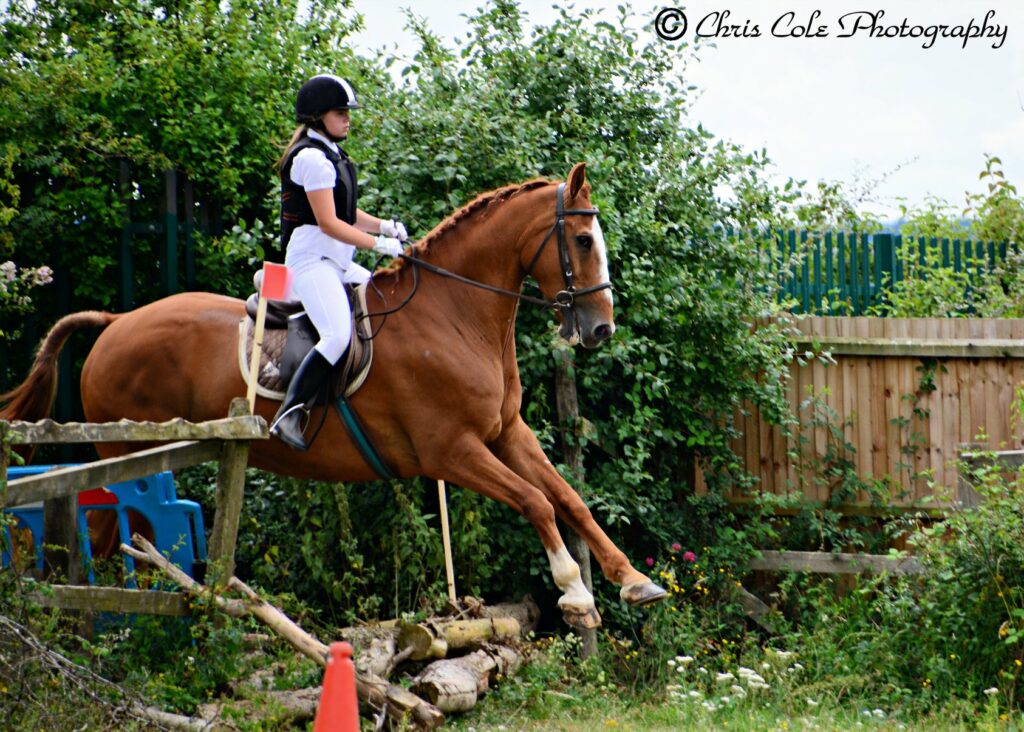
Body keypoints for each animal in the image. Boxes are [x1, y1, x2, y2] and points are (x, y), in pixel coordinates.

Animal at [1, 163, 666, 628]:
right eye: (583, 241)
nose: (601, 329)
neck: (456, 314)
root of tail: (115, 323)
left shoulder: (505, 433)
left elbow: (570, 499)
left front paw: (633, 580)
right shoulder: (450, 451)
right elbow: (536, 501)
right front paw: (576, 595)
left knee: (105, 537)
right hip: (126, 454)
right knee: (100, 535)